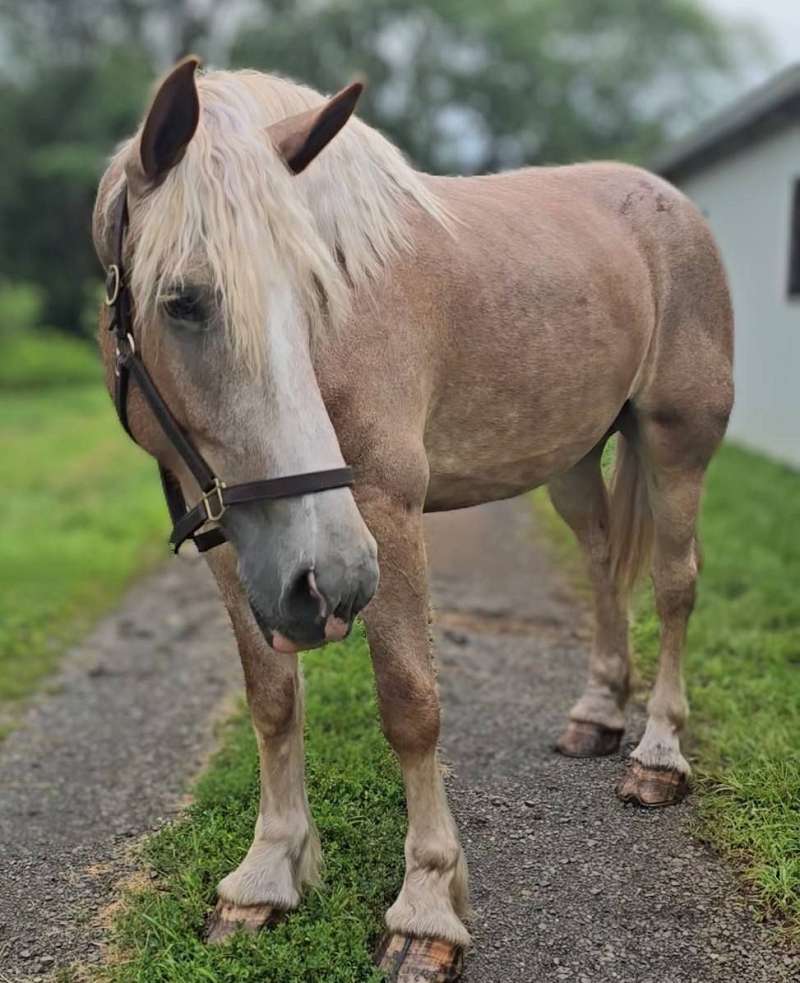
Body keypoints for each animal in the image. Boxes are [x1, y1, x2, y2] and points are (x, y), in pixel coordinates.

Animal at [92, 57, 733, 980]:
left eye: (317, 294)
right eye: (182, 301)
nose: (330, 579)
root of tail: (670, 203)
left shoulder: (386, 516)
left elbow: (410, 705)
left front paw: (427, 908)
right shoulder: (232, 533)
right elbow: (272, 700)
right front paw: (265, 876)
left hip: (679, 444)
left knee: (675, 586)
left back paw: (657, 755)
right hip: (575, 463)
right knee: (605, 569)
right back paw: (598, 715)